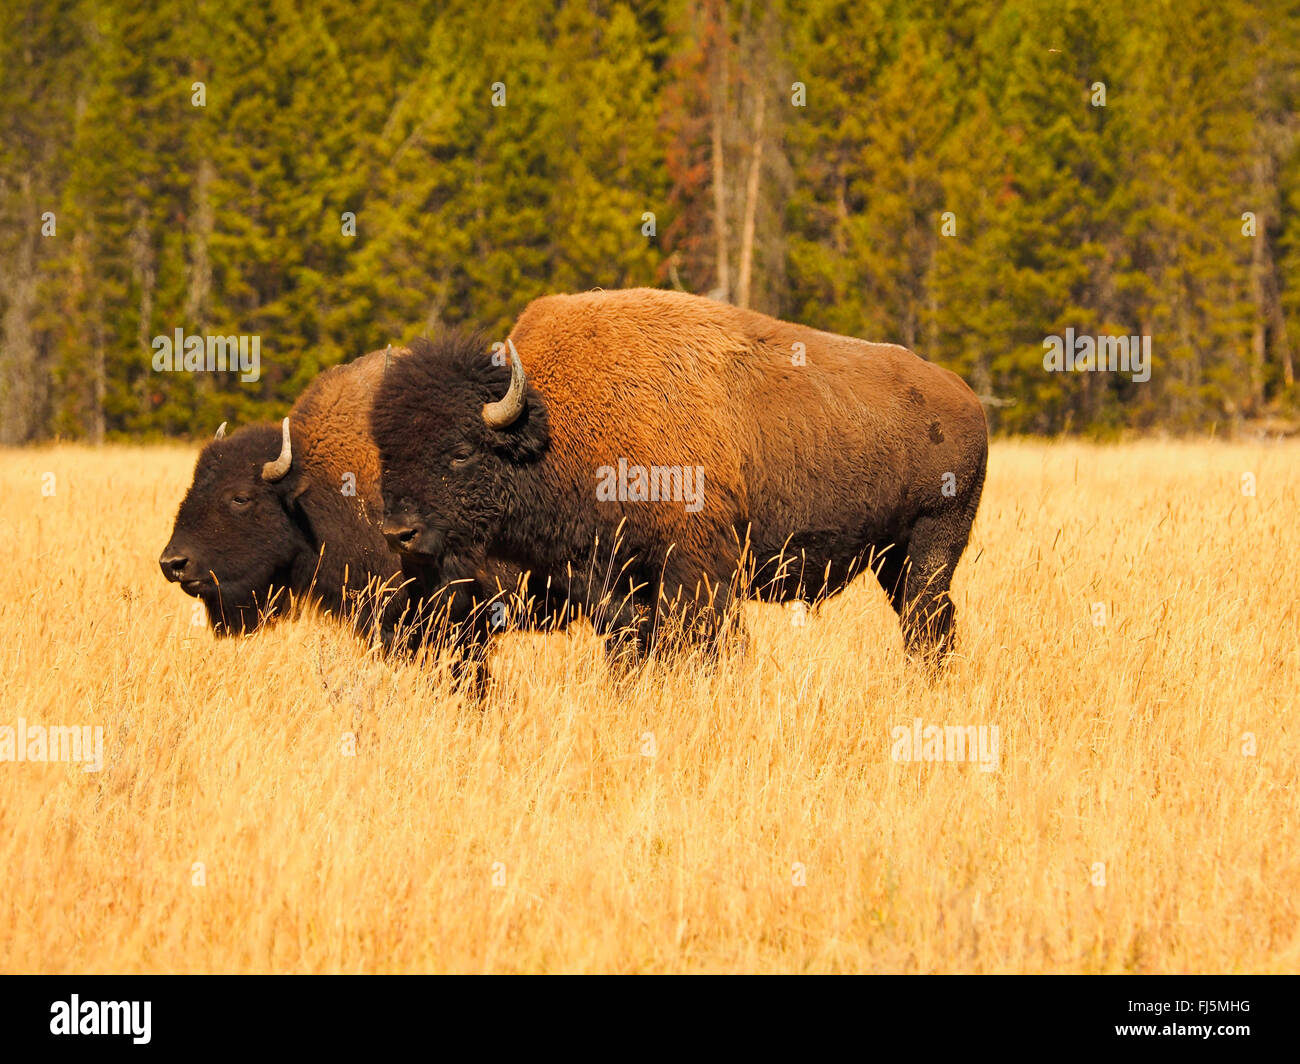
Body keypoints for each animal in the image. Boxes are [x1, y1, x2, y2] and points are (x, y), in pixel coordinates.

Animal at [371, 288, 988, 686]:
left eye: (459, 452)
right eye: (386, 453)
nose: (399, 533)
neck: (552, 423)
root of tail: (965, 396)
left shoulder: (696, 567)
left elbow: (702, 643)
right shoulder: (612, 581)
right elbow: (630, 645)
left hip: (931, 546)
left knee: (926, 621)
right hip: (894, 559)